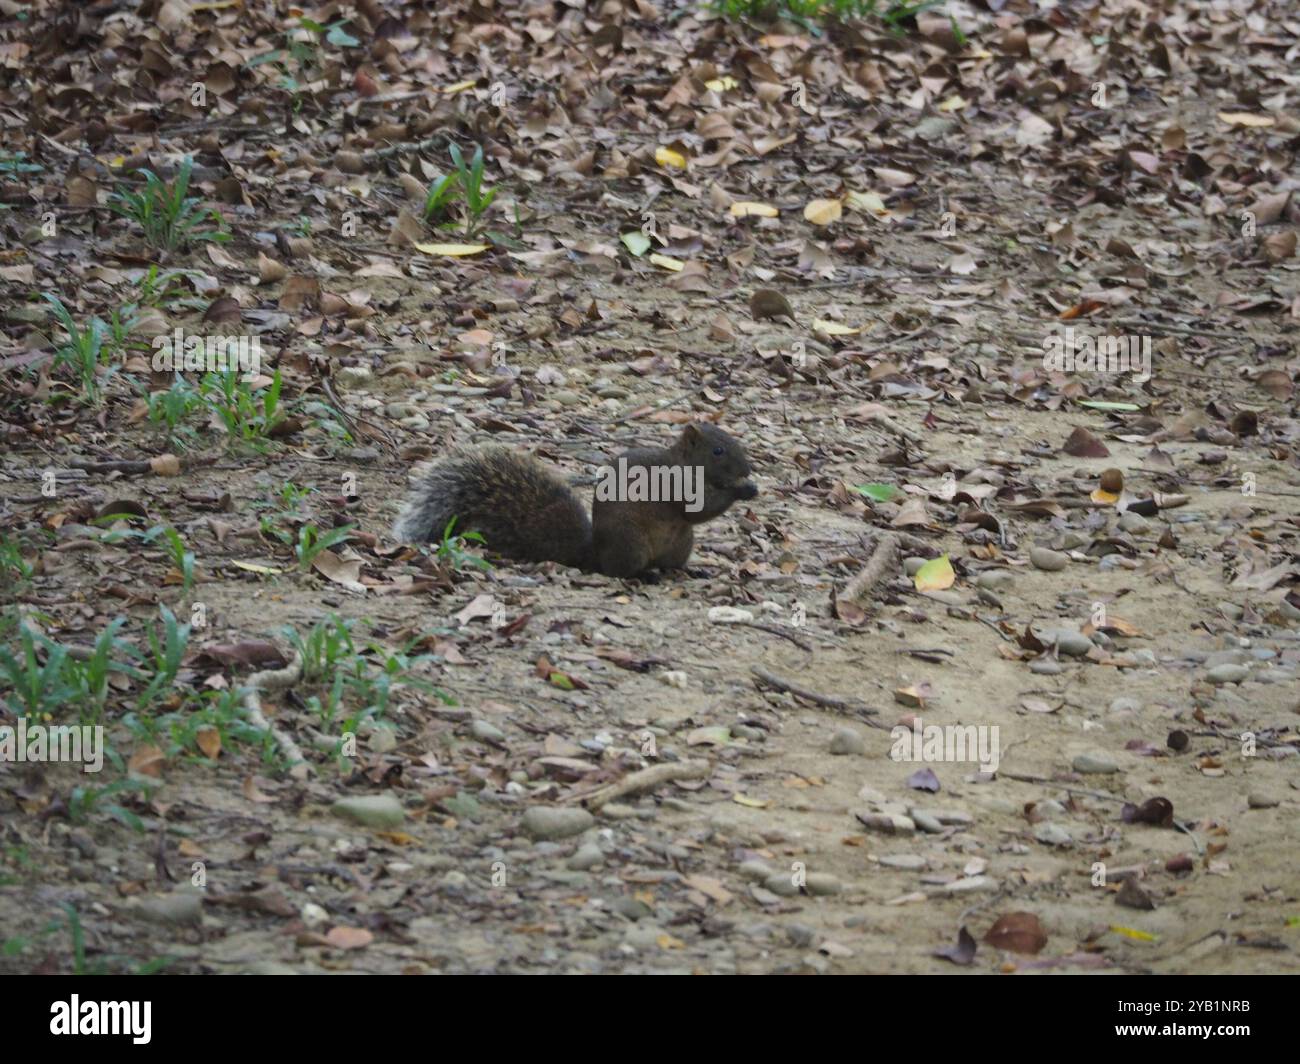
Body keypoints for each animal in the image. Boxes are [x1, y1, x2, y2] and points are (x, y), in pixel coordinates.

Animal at [392, 423, 757, 578]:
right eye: (718, 450)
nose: (748, 469)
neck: (687, 465)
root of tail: (593, 553)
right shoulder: (672, 484)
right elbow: (697, 508)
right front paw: (741, 490)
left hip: (681, 543)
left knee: (671, 564)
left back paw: (691, 572)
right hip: (632, 543)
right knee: (620, 572)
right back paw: (643, 576)